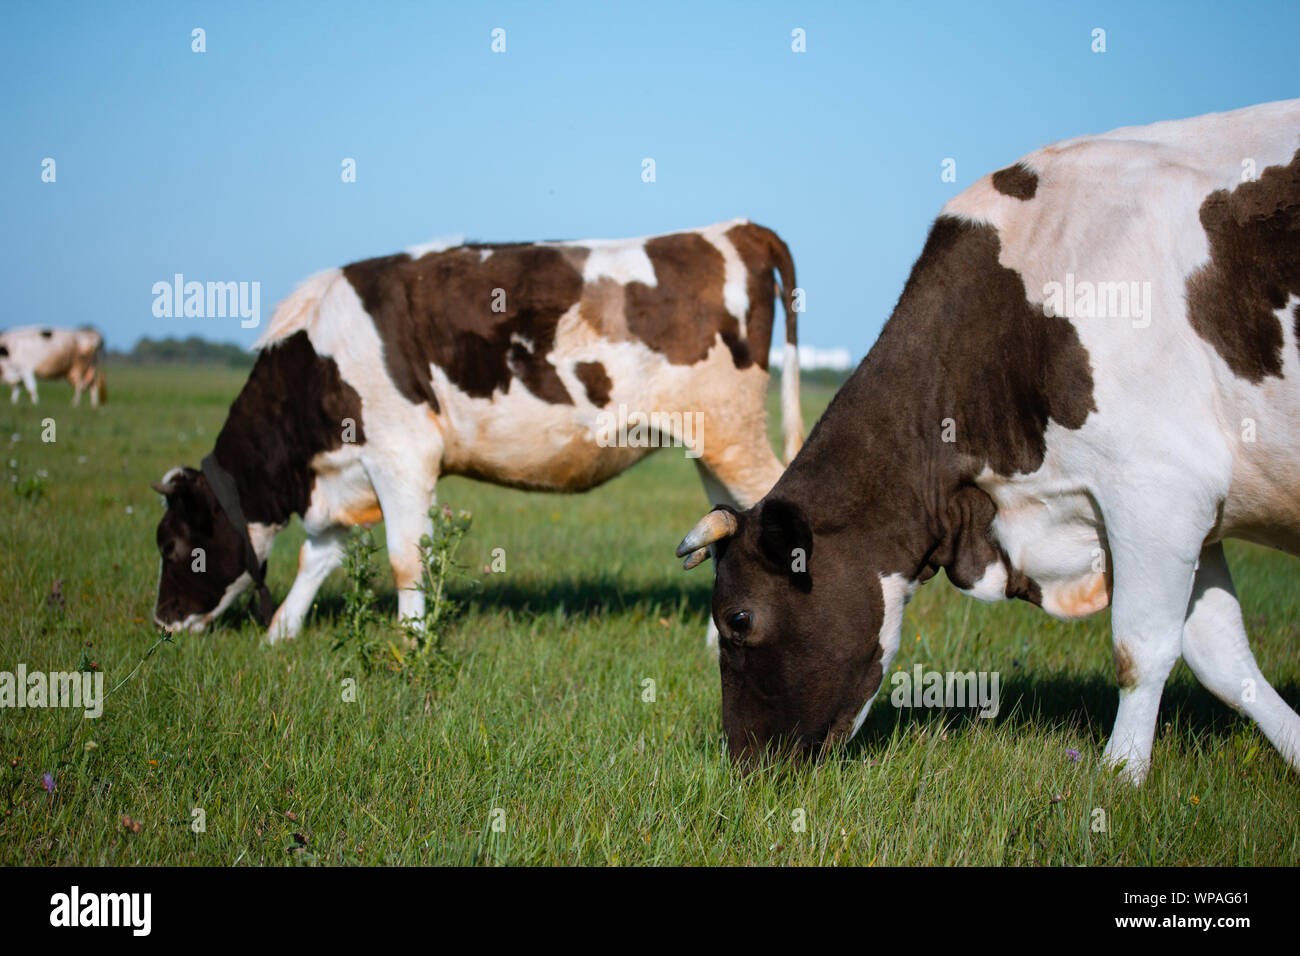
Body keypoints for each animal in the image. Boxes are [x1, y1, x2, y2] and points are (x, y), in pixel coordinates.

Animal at [151, 219, 804, 644]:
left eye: (173, 545)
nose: (162, 623)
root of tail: (735, 227)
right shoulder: (349, 471)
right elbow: (319, 554)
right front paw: (281, 634)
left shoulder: (401, 454)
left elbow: (404, 558)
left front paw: (410, 644)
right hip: (710, 443)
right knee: (726, 520)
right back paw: (716, 642)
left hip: (731, 429)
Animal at [677, 99, 1300, 784]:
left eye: (738, 618)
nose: (745, 763)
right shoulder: (1193, 514)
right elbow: (1222, 657)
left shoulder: (1159, 489)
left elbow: (1142, 647)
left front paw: (1119, 777)